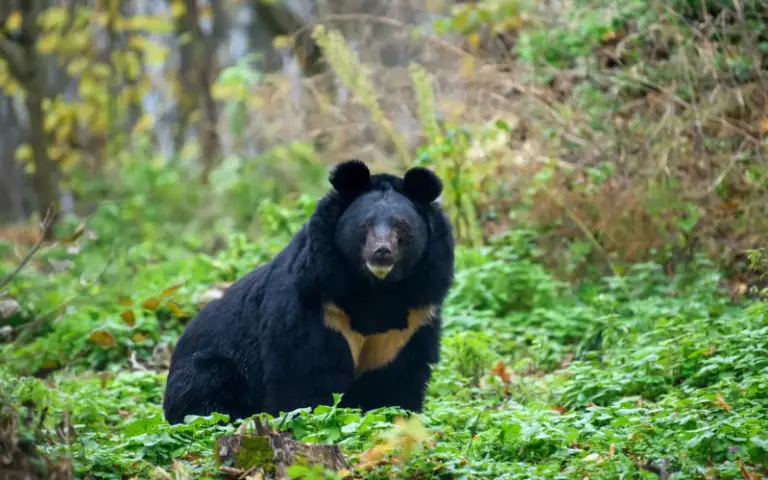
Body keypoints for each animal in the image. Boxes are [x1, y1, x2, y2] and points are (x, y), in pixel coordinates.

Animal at [162, 159, 455, 425]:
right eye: (364, 225)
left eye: (402, 226)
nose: (382, 252)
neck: (377, 288)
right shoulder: (317, 305)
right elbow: (305, 372)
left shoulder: (410, 322)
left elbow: (396, 379)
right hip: (212, 365)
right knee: (205, 395)